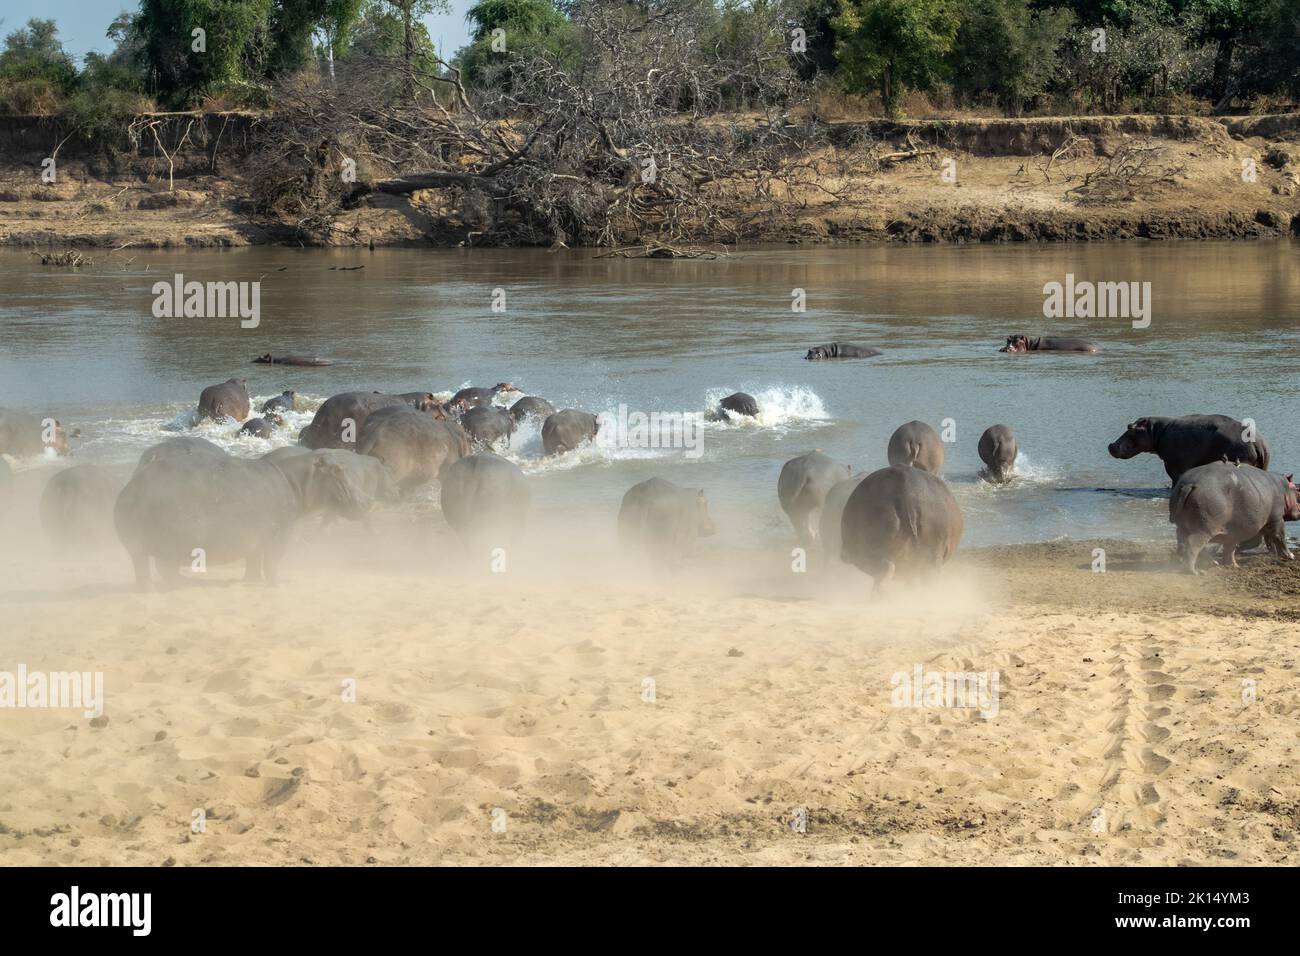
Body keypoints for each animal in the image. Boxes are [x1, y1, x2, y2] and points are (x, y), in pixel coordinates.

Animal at [1108, 415, 1269, 483]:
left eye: (1130, 427)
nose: (1110, 445)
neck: (1156, 431)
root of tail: (1259, 442)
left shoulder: (1172, 465)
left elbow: (1175, 478)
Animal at [1169, 462, 1300, 574]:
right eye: (1296, 489)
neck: (1284, 487)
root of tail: (1189, 485)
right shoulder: (1276, 519)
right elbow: (1279, 537)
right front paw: (1290, 556)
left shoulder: (1236, 532)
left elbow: (1231, 548)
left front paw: (1234, 565)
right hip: (1204, 529)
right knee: (1193, 545)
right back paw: (1195, 572)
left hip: (1183, 526)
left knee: (1183, 544)